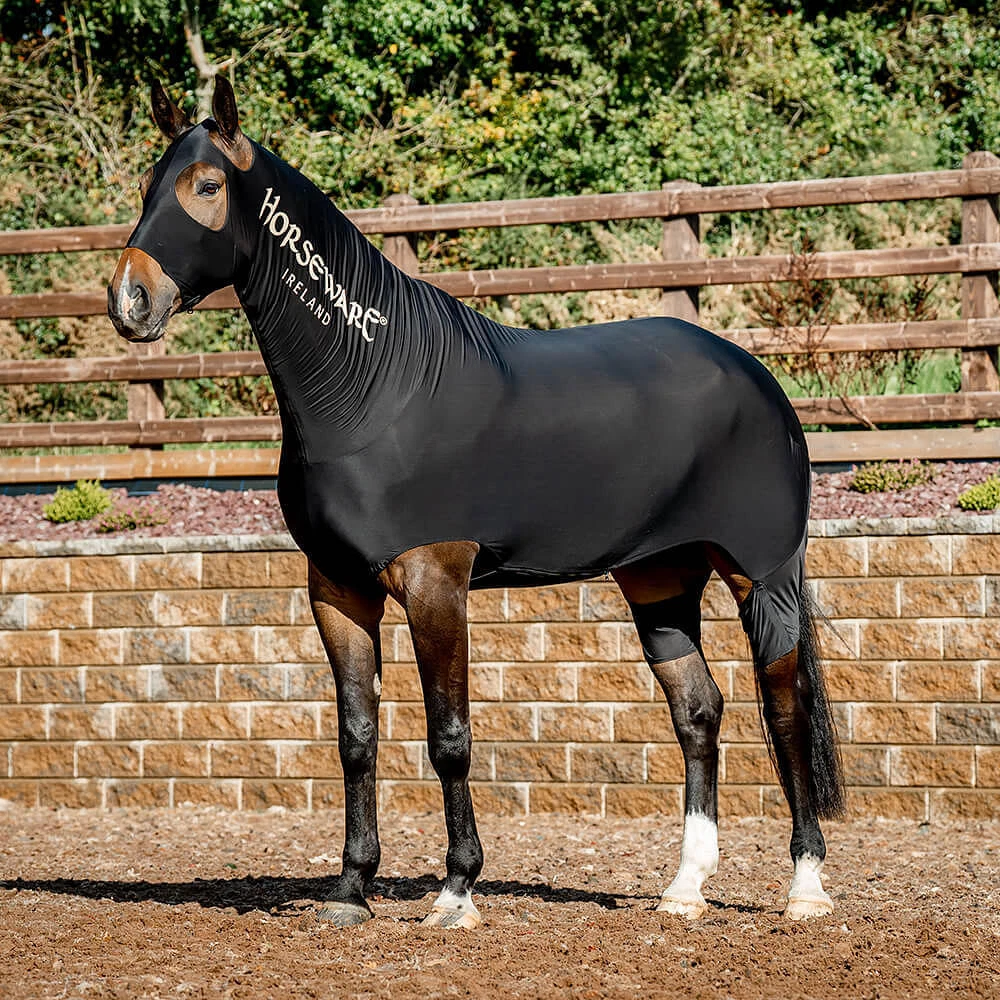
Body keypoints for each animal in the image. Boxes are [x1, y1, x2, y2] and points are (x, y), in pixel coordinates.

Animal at [107, 78, 844, 929]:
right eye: (146, 185)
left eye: (206, 186)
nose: (129, 300)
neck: (374, 388)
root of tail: (757, 379)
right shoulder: (336, 588)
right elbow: (356, 736)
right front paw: (351, 890)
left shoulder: (436, 583)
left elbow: (448, 736)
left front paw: (456, 891)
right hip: (659, 580)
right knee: (698, 711)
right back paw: (685, 887)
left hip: (764, 575)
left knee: (784, 708)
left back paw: (806, 887)